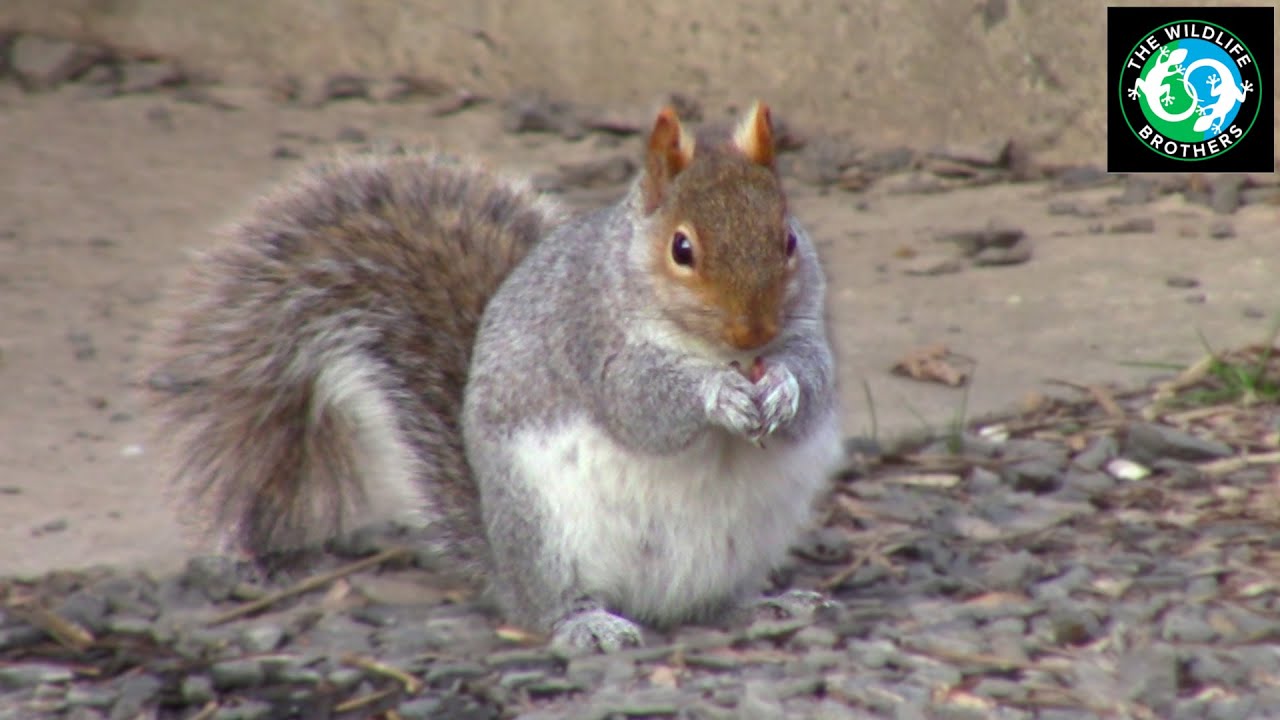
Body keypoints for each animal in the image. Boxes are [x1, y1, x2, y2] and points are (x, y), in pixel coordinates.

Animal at [147, 100, 843, 652]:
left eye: (788, 239)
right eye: (682, 248)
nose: (754, 333)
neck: (710, 346)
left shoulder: (809, 333)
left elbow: (814, 384)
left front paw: (782, 389)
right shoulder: (590, 339)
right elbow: (640, 407)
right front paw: (717, 394)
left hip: (747, 543)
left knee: (711, 602)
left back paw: (764, 604)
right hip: (545, 531)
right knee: (549, 606)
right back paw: (587, 624)